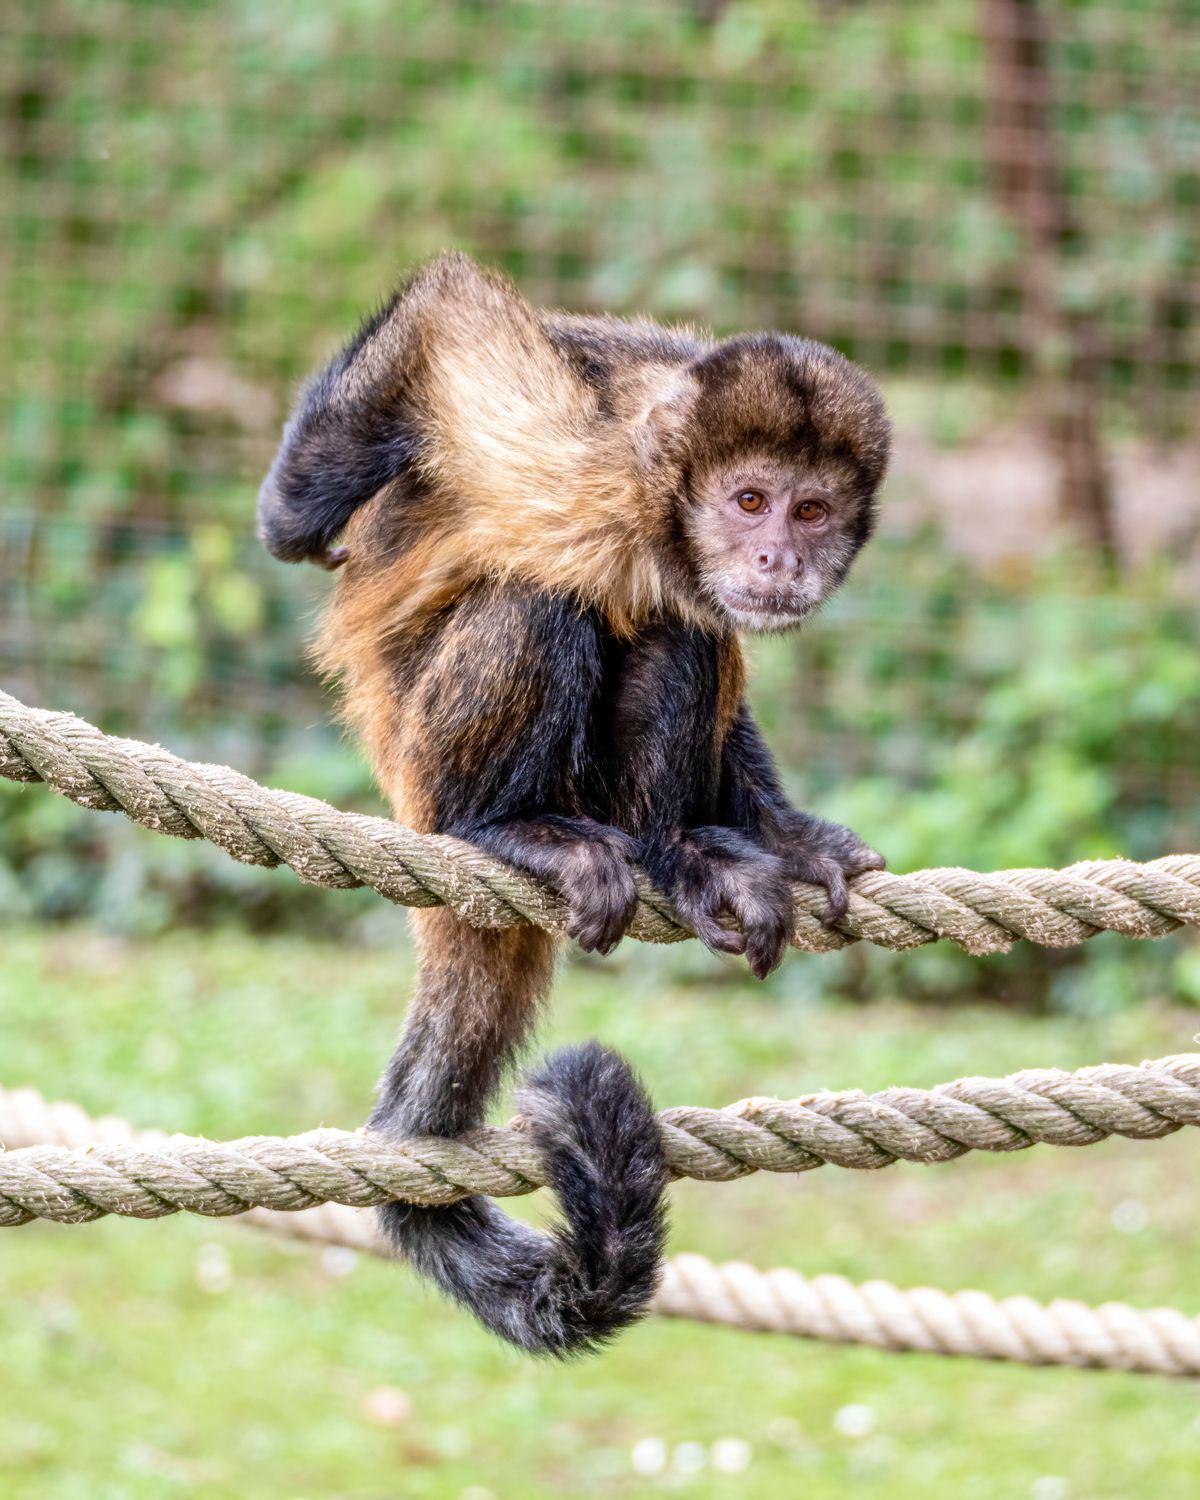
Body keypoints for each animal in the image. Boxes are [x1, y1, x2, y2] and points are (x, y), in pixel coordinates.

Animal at [257, 253, 891, 1356]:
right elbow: (451, 316)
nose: (778, 558)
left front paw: (785, 833)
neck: (657, 510)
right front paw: (292, 514)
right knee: (542, 597)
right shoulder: (585, 467)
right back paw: (506, 829)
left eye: (810, 512)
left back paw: (681, 849)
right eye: (751, 500)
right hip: (425, 761)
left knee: (678, 628)